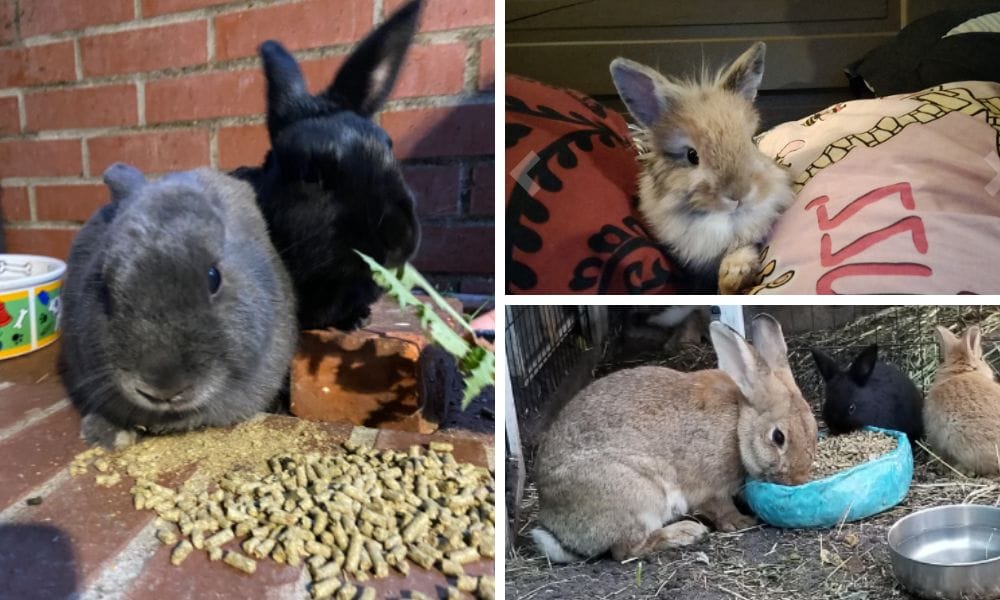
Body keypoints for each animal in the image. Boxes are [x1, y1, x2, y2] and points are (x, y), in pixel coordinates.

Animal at [531, 314, 817, 562]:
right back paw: (686, 533)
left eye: (815, 431)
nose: (798, 481)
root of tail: (555, 522)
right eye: (778, 437)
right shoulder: (709, 486)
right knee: (625, 550)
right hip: (639, 496)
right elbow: (720, 507)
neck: (738, 423)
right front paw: (741, 522)